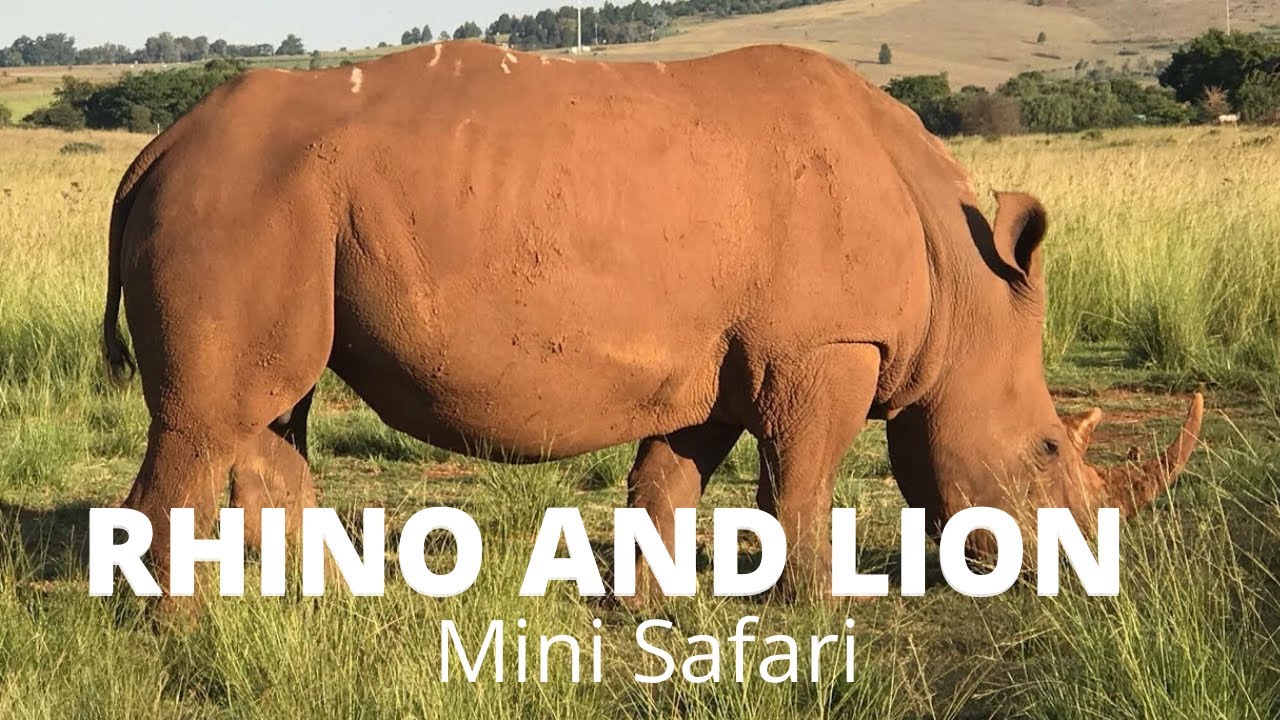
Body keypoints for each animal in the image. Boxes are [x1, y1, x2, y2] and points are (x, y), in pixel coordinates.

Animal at [102, 42, 1201, 605]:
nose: (1084, 581)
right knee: (208, 422)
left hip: (273, 205)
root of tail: (156, 150)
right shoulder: (823, 347)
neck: (960, 287)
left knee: (266, 414)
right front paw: (816, 610)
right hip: (235, 202)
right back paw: (179, 640)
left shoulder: (714, 360)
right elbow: (800, 481)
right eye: (1049, 449)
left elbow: (668, 480)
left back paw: (333, 607)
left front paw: (645, 608)